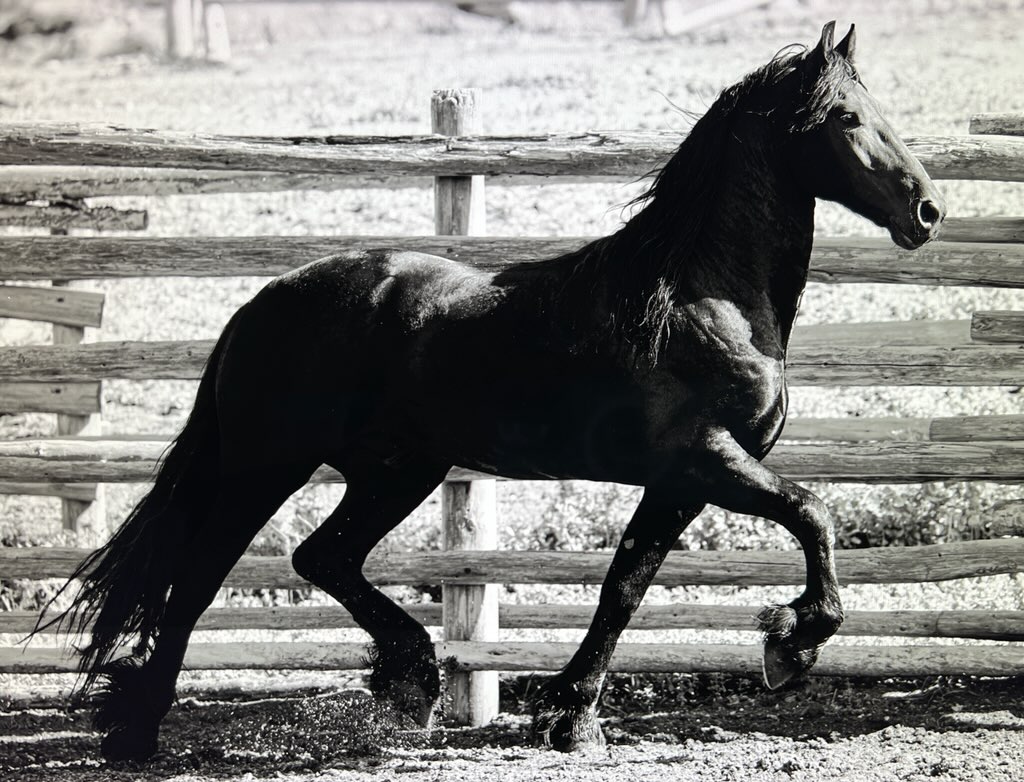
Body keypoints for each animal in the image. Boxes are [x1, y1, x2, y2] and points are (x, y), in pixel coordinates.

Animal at [41, 21, 944, 760]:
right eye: (846, 118)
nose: (928, 211)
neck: (700, 295)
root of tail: (259, 306)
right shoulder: (708, 459)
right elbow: (813, 513)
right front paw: (791, 642)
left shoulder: (679, 480)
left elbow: (625, 586)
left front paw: (570, 717)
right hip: (266, 466)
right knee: (197, 578)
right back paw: (137, 731)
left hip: (397, 471)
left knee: (322, 556)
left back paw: (410, 677)